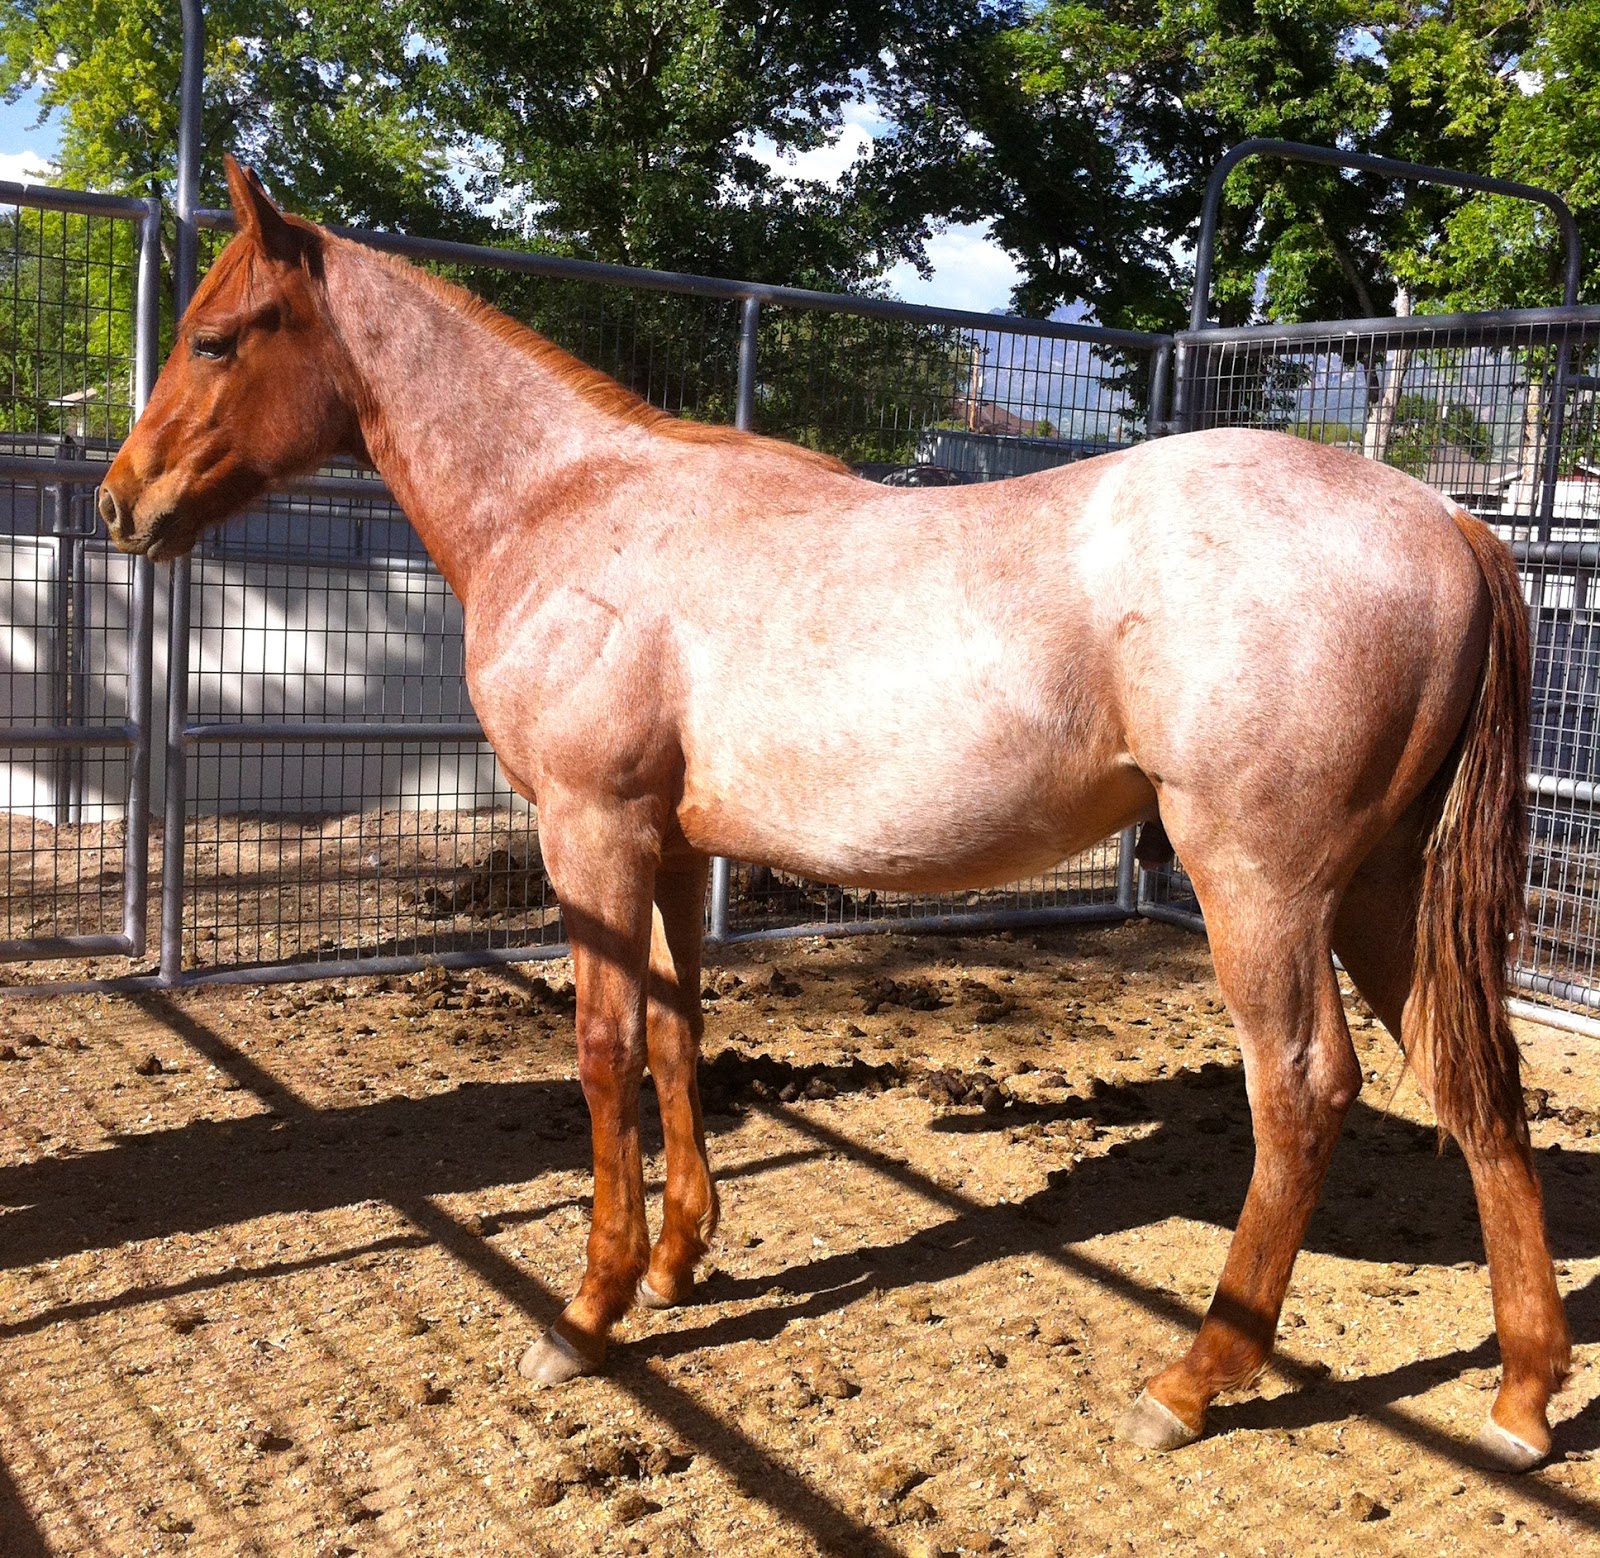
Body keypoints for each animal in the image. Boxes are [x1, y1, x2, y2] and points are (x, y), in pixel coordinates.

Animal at [98, 158, 1569, 1472]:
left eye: (215, 337)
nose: (122, 503)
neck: (575, 512)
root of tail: (1448, 525)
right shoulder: (670, 846)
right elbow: (679, 1036)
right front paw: (679, 1262)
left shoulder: (592, 832)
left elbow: (603, 1049)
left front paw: (589, 1311)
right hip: (1382, 889)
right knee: (1477, 1079)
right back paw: (1523, 1394)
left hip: (1260, 886)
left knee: (1303, 1091)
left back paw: (1194, 1378)